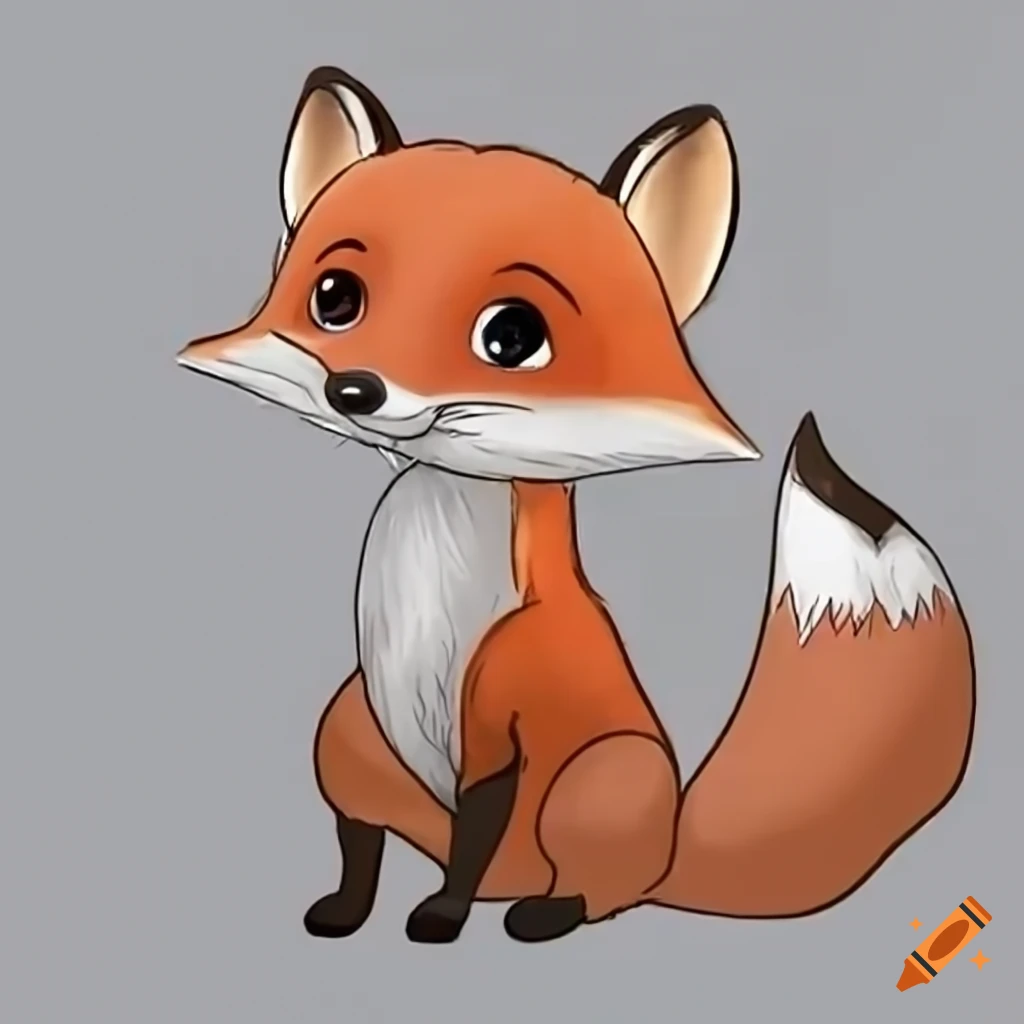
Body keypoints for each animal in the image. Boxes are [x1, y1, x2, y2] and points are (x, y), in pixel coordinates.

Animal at [177, 66, 976, 945]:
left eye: (512, 335)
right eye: (334, 298)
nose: (355, 391)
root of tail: (674, 843)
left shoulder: (503, 717)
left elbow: (474, 830)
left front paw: (441, 918)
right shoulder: (359, 732)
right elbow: (359, 845)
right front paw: (349, 912)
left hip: (599, 778)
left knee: (600, 891)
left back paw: (542, 913)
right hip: (350, 733)